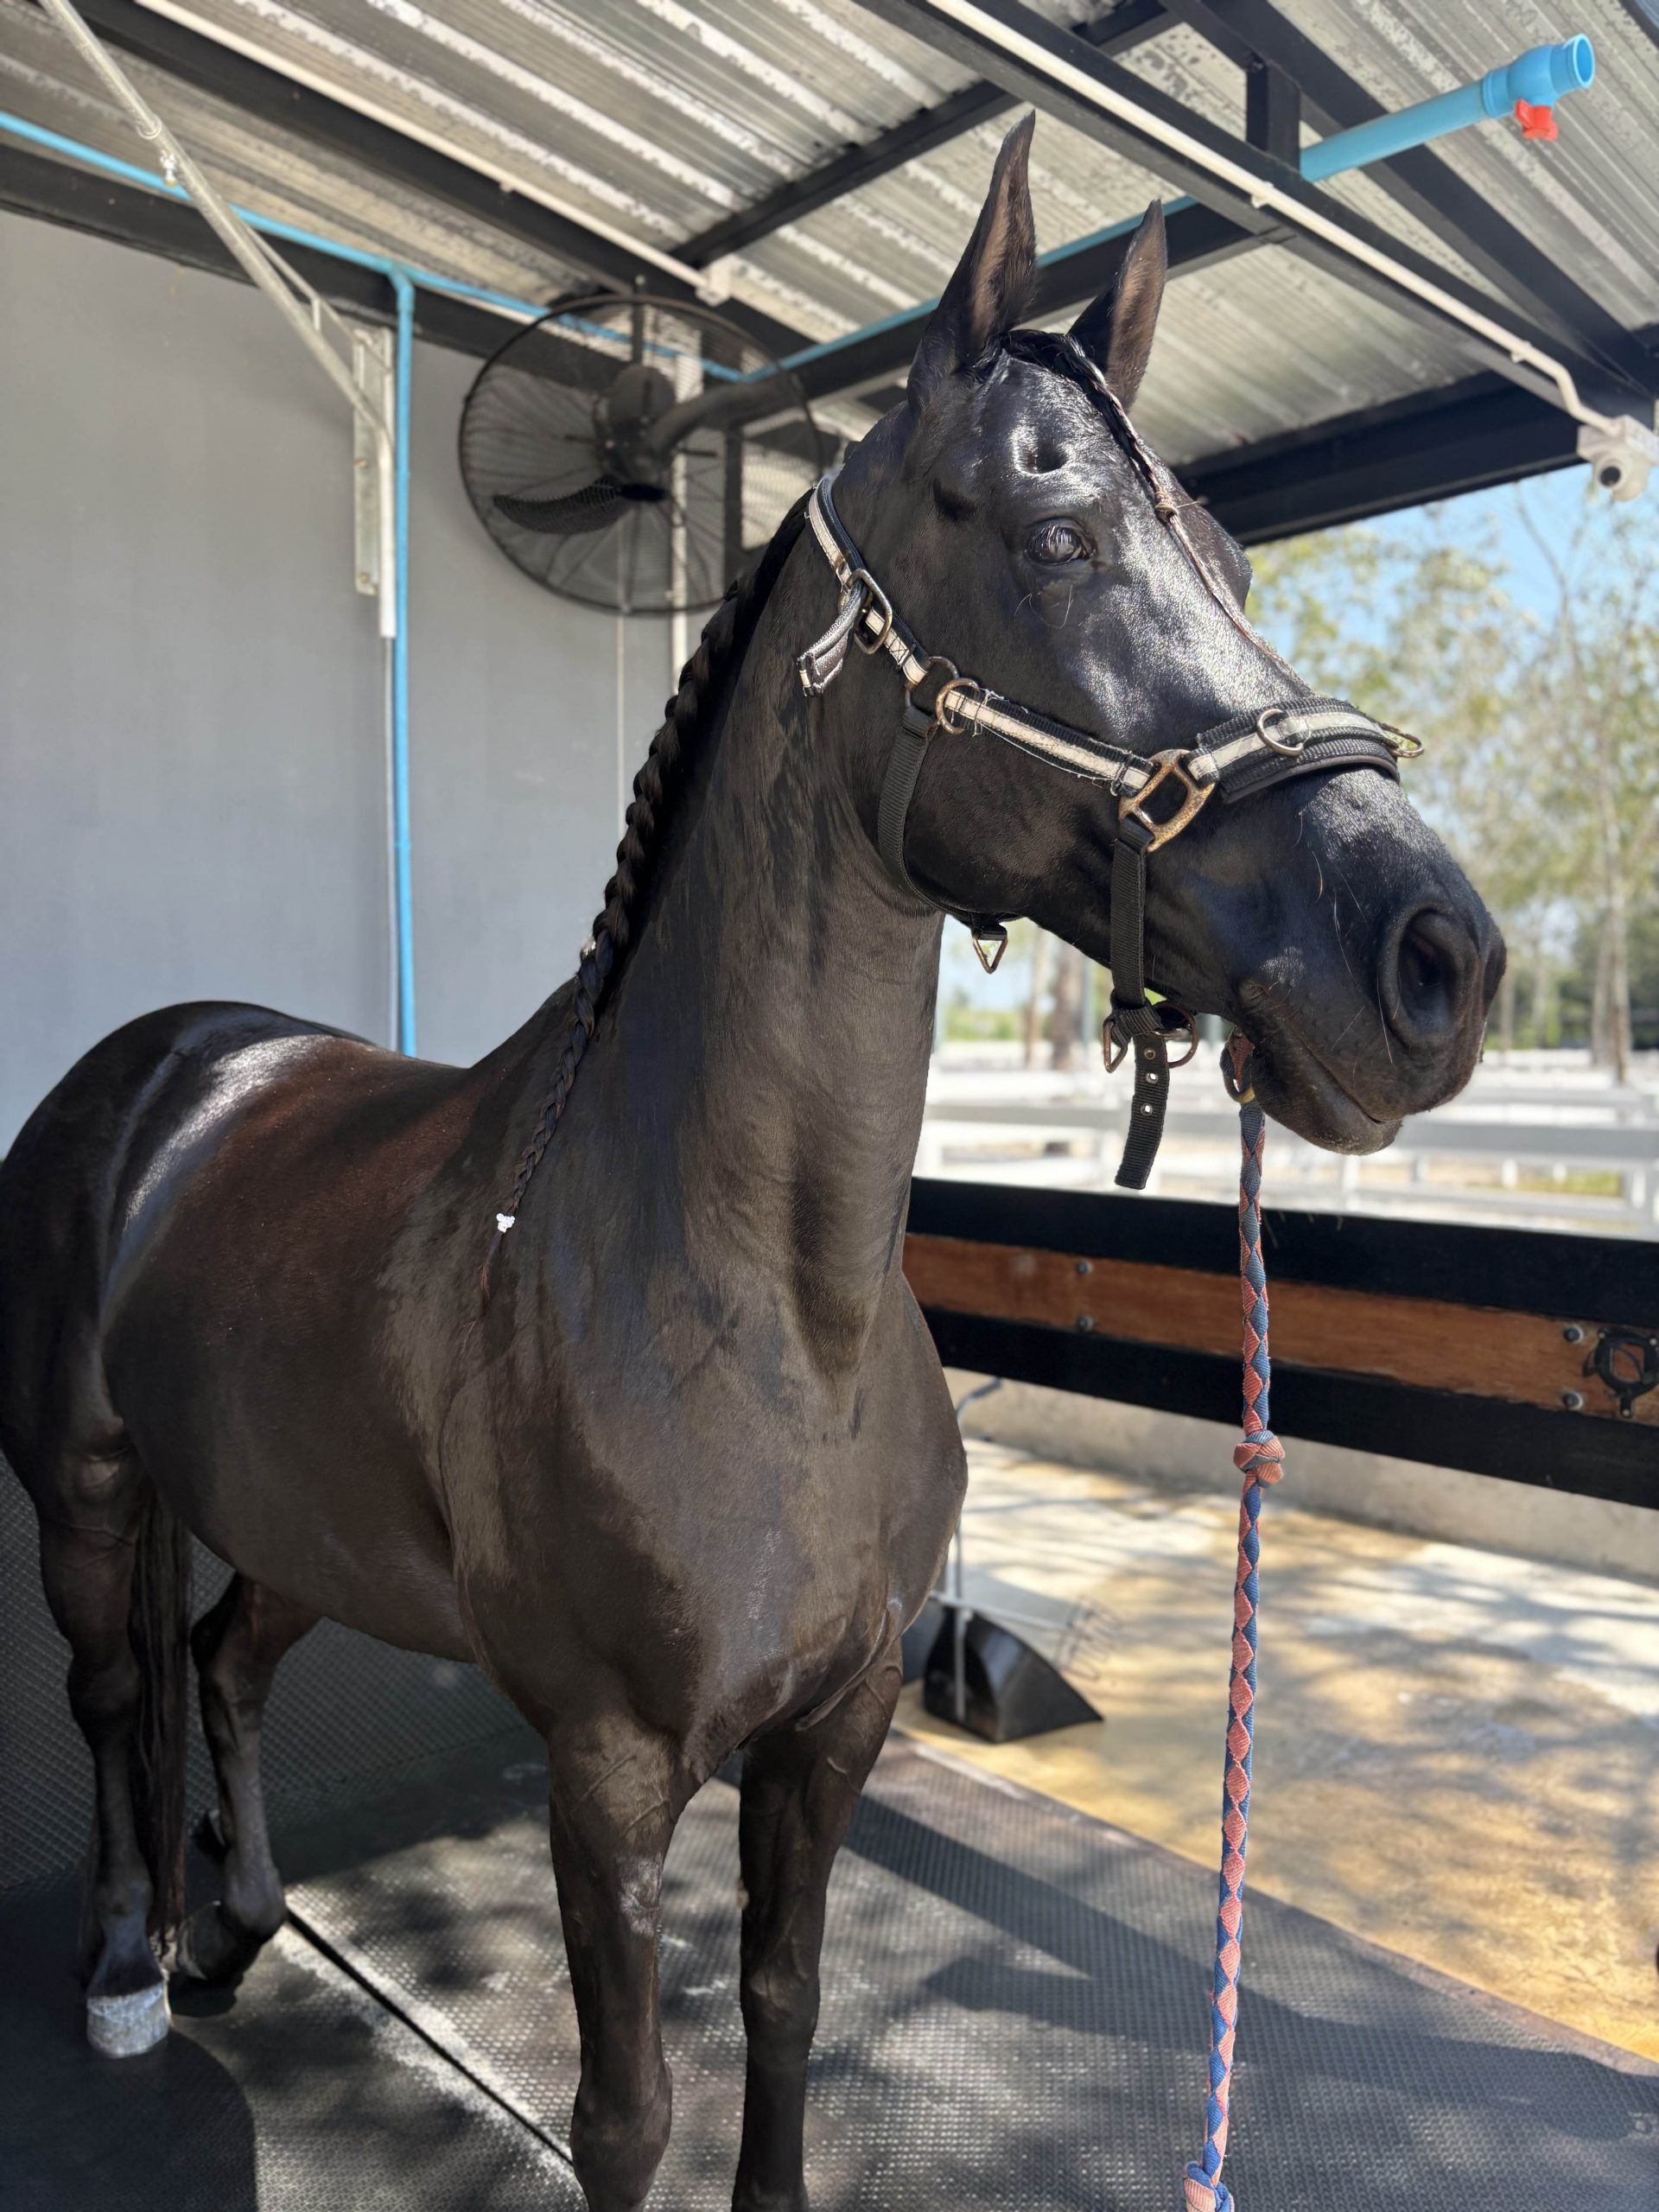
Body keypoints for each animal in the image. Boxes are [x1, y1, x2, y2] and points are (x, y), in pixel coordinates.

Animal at [0, 119, 1500, 2212]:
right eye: (1050, 533)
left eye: (1222, 548)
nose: (1438, 958)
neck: (763, 1307)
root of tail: (172, 1067)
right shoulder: (612, 1765)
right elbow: (626, 2114)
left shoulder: (832, 1731)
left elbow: (787, 2011)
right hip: (86, 1489)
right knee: (113, 1690)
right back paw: (132, 1960)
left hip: (287, 1510)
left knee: (218, 1662)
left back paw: (243, 1917)